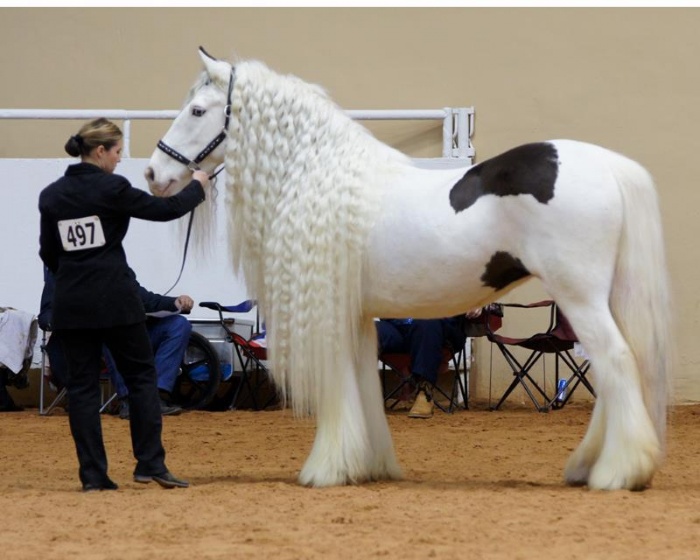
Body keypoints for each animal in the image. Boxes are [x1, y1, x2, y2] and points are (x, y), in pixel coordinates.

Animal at [145, 47, 673, 491]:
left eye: (197, 111)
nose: (153, 174)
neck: (317, 172)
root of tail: (608, 165)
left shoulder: (327, 311)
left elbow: (339, 387)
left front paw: (325, 470)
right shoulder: (359, 315)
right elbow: (362, 383)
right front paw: (367, 464)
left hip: (580, 297)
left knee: (617, 362)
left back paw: (618, 471)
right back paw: (591, 465)